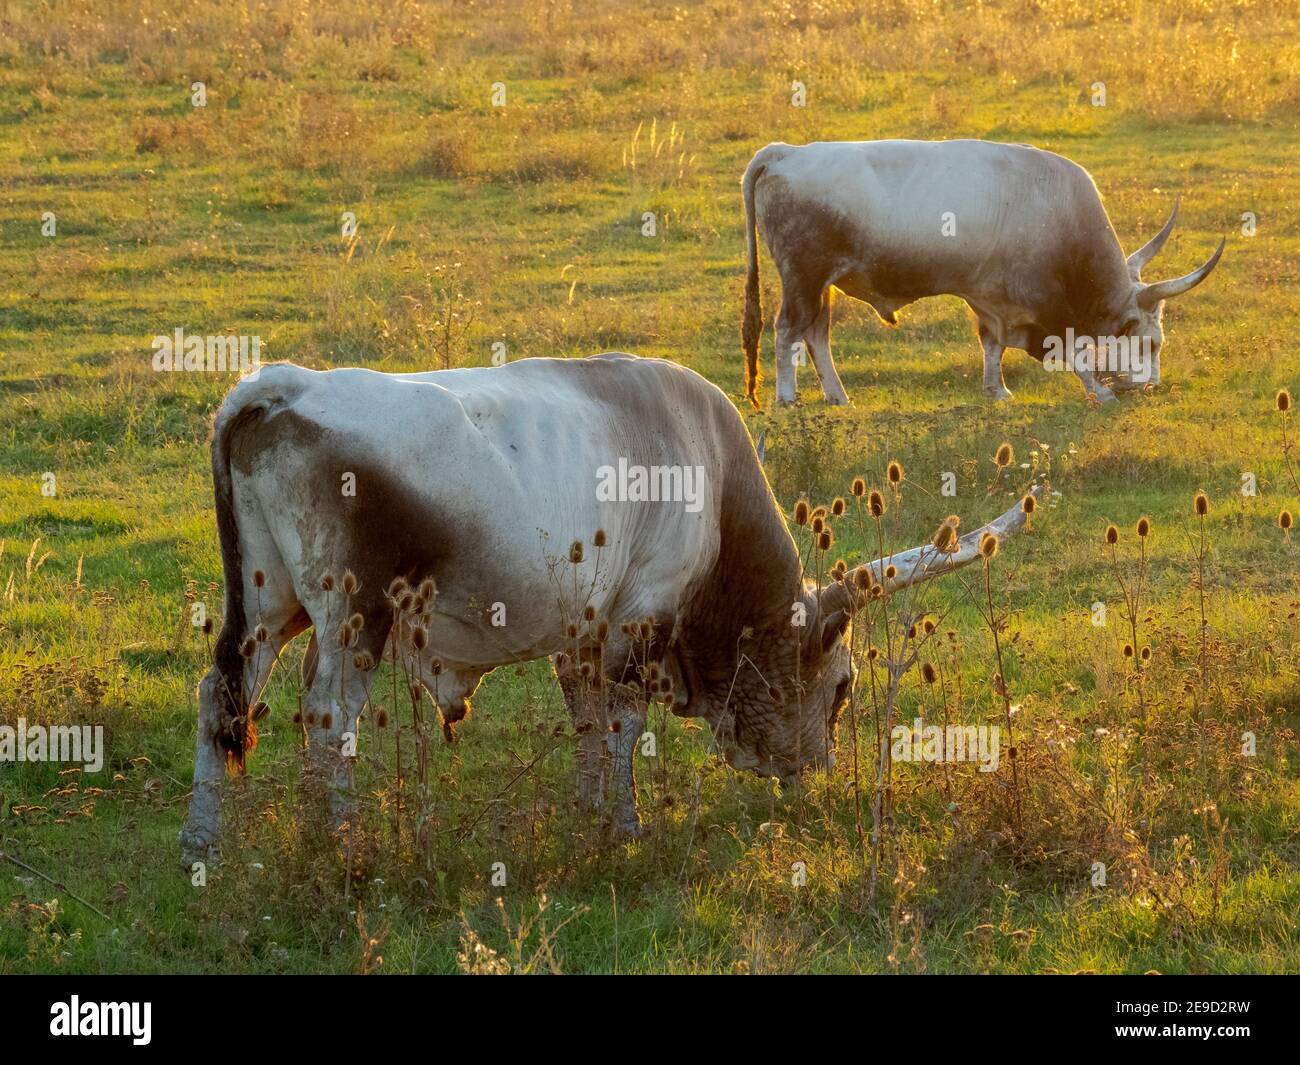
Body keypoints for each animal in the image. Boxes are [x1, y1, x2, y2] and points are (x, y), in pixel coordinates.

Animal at [179, 354, 1035, 865]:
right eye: (844, 684)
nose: (815, 773)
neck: (708, 470)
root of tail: (282, 385)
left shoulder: (581, 635)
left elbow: (589, 726)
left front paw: (590, 815)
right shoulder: (638, 617)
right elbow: (622, 726)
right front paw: (625, 828)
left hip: (267, 607)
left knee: (224, 696)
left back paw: (204, 845)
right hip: (353, 615)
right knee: (328, 719)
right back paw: (343, 842)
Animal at [741, 139, 1225, 407]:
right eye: (1151, 343)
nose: (1152, 388)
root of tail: (784, 153)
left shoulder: (990, 296)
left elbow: (992, 344)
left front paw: (997, 390)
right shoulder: (1049, 305)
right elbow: (1074, 349)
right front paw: (1100, 392)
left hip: (821, 285)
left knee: (816, 332)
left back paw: (837, 396)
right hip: (803, 278)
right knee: (788, 331)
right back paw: (787, 397)